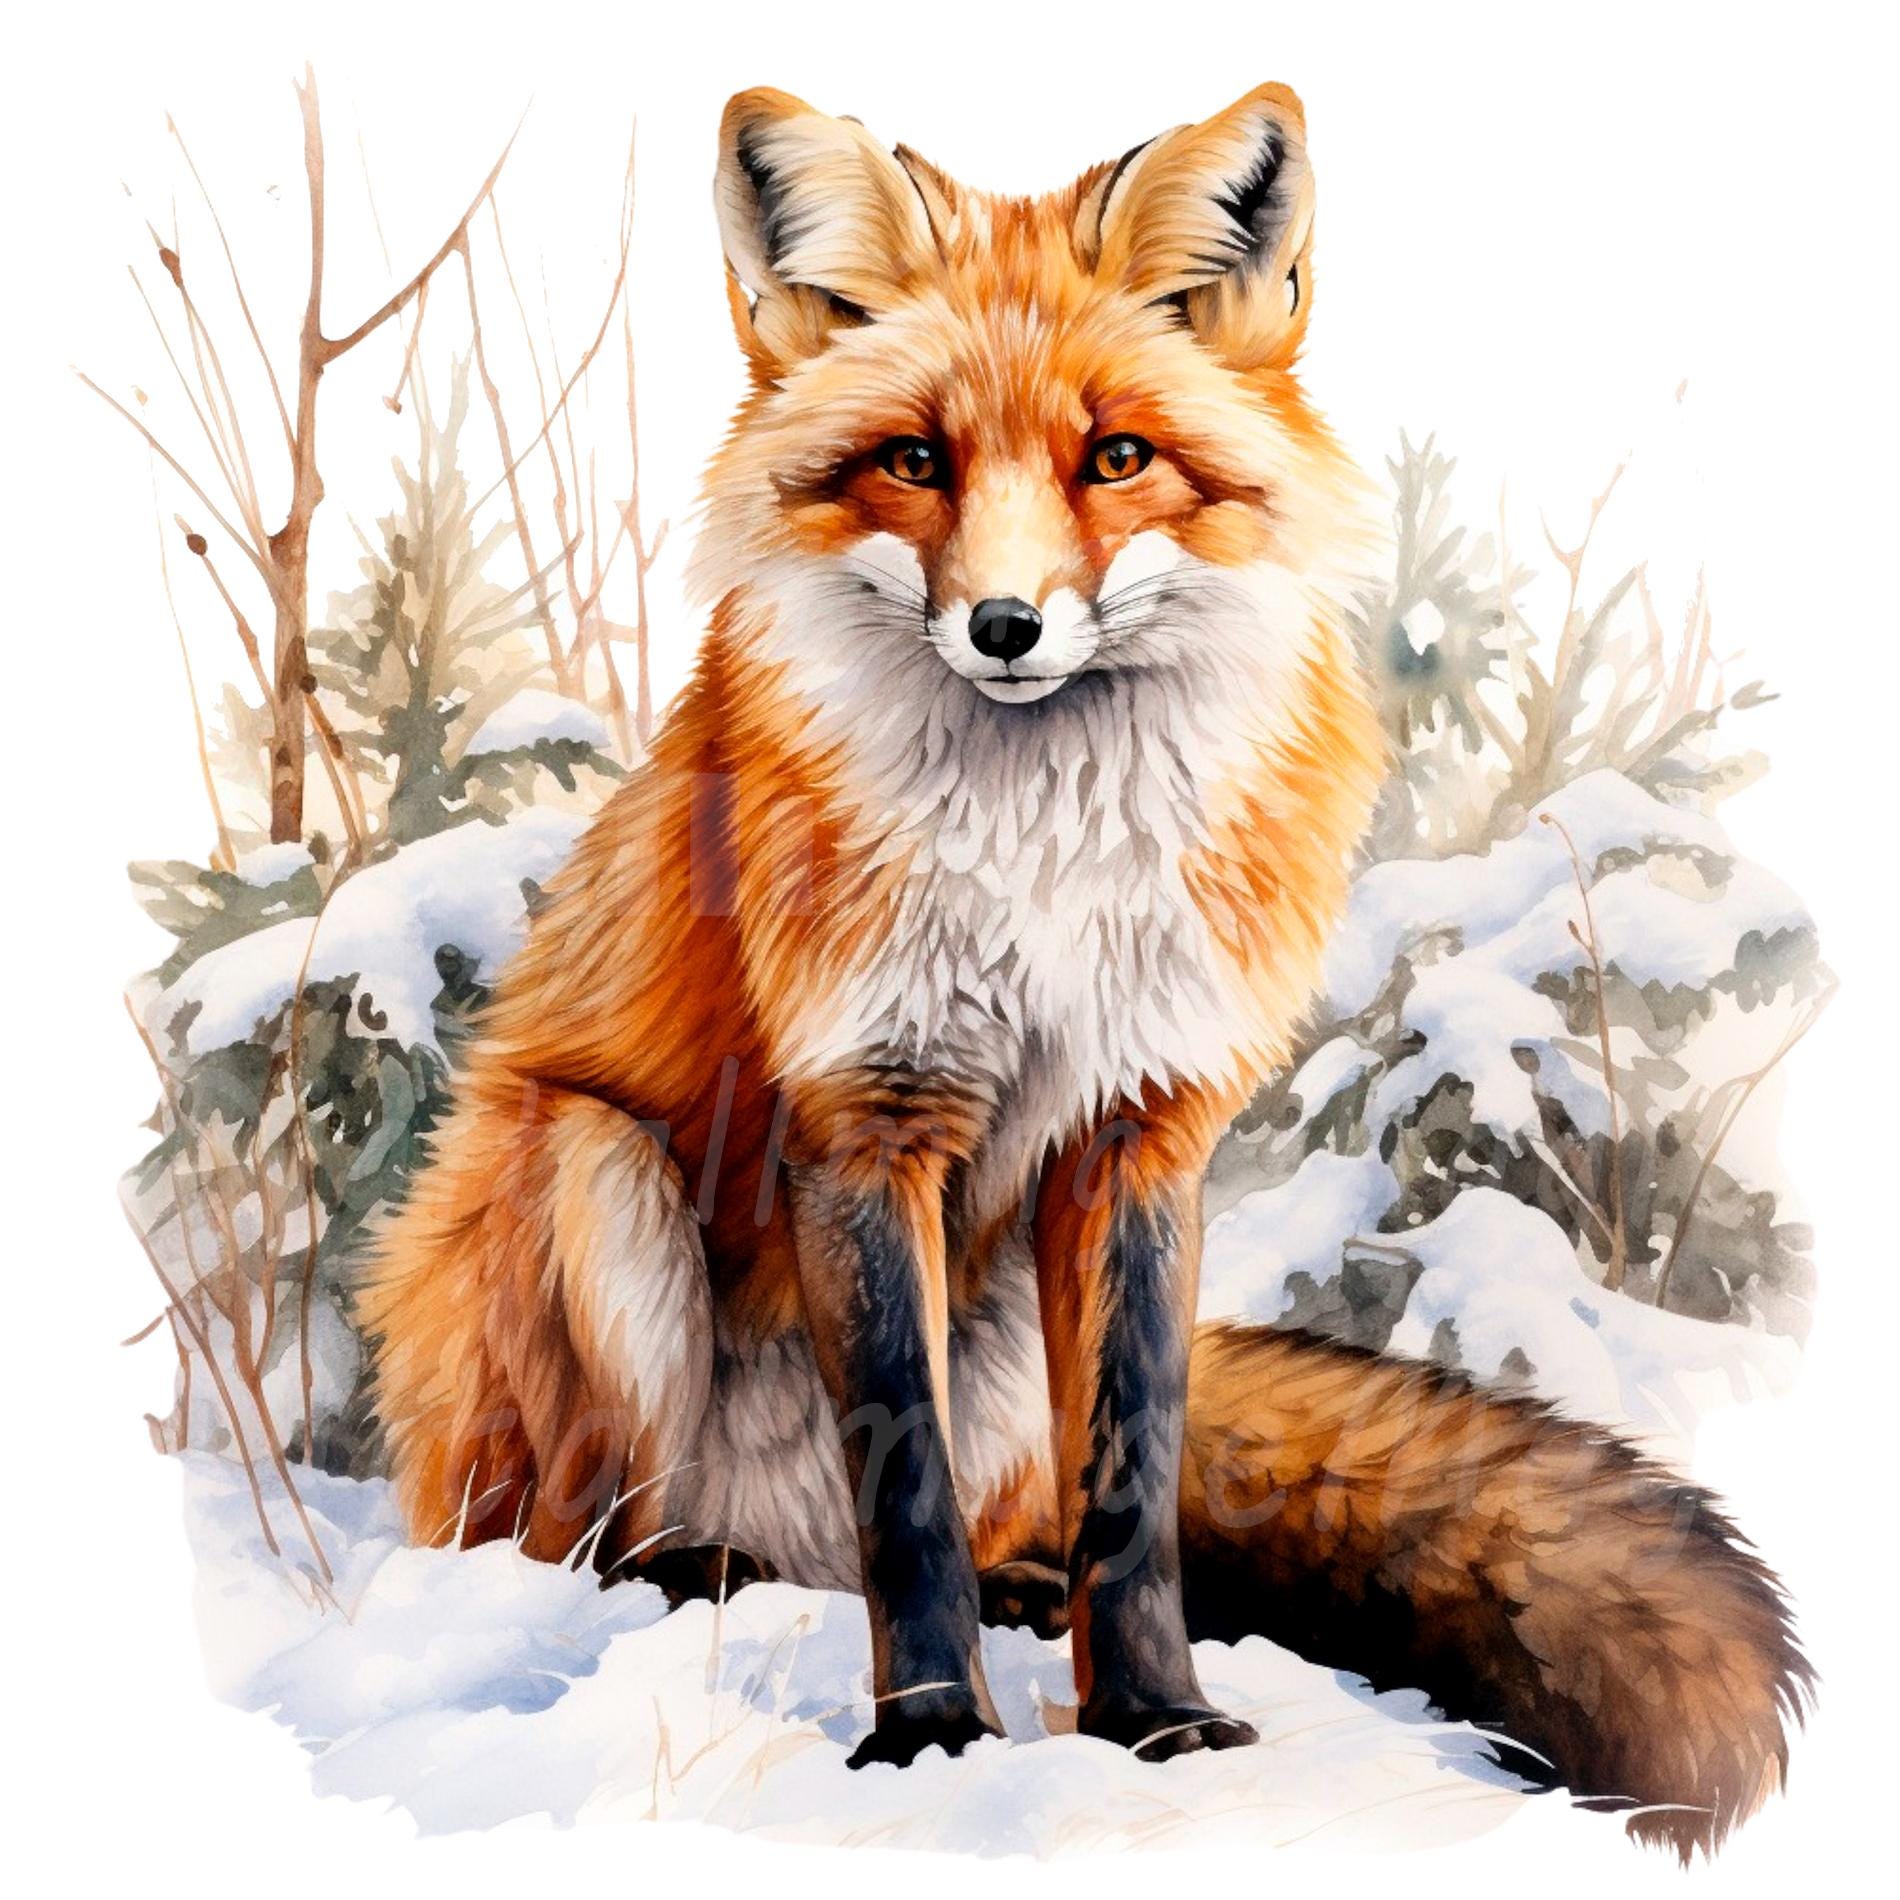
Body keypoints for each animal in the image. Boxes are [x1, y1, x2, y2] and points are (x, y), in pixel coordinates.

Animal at [360, 82, 1809, 1858]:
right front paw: (928, 1735)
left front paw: (1153, 1718)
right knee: (587, 1538)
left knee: (940, 1535)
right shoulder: (868, 1121)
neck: (1043, 871)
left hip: (989, 1336)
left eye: (1115, 457)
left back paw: (1014, 1588)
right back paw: (686, 1570)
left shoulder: (1140, 1129)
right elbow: (901, 1494)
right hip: (591, 1181)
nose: (1002, 626)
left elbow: (1132, 1487)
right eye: (914, 462)